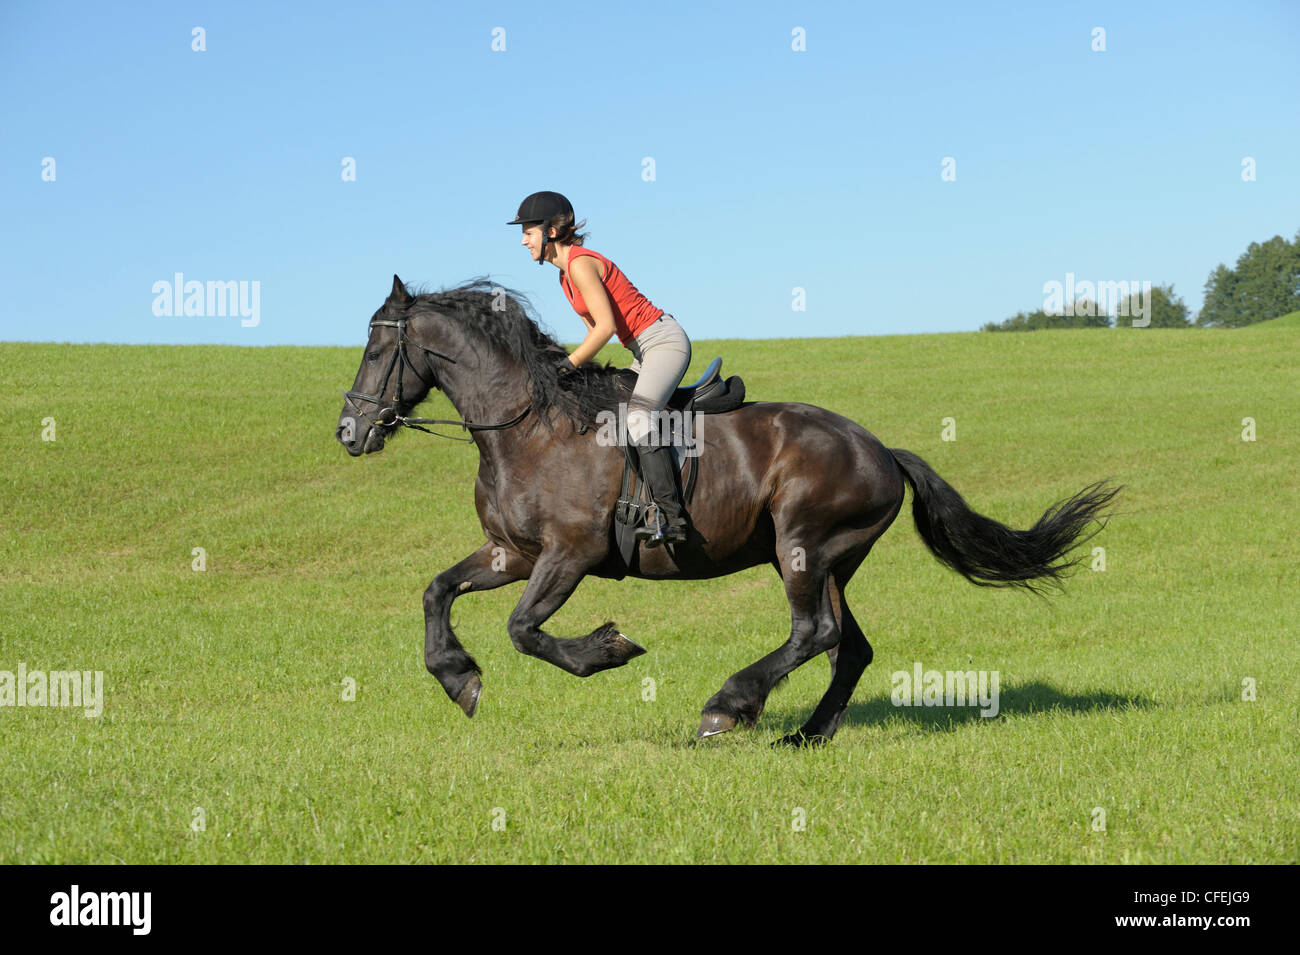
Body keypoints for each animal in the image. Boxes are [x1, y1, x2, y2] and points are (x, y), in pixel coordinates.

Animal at [336, 275, 1120, 745]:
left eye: (376, 346)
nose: (349, 432)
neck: (529, 425)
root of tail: (881, 448)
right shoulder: (513, 553)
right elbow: (438, 590)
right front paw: (457, 677)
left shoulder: (569, 555)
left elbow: (524, 629)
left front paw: (608, 649)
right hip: (825, 557)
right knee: (847, 644)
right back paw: (805, 734)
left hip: (803, 544)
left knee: (814, 631)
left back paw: (728, 705)